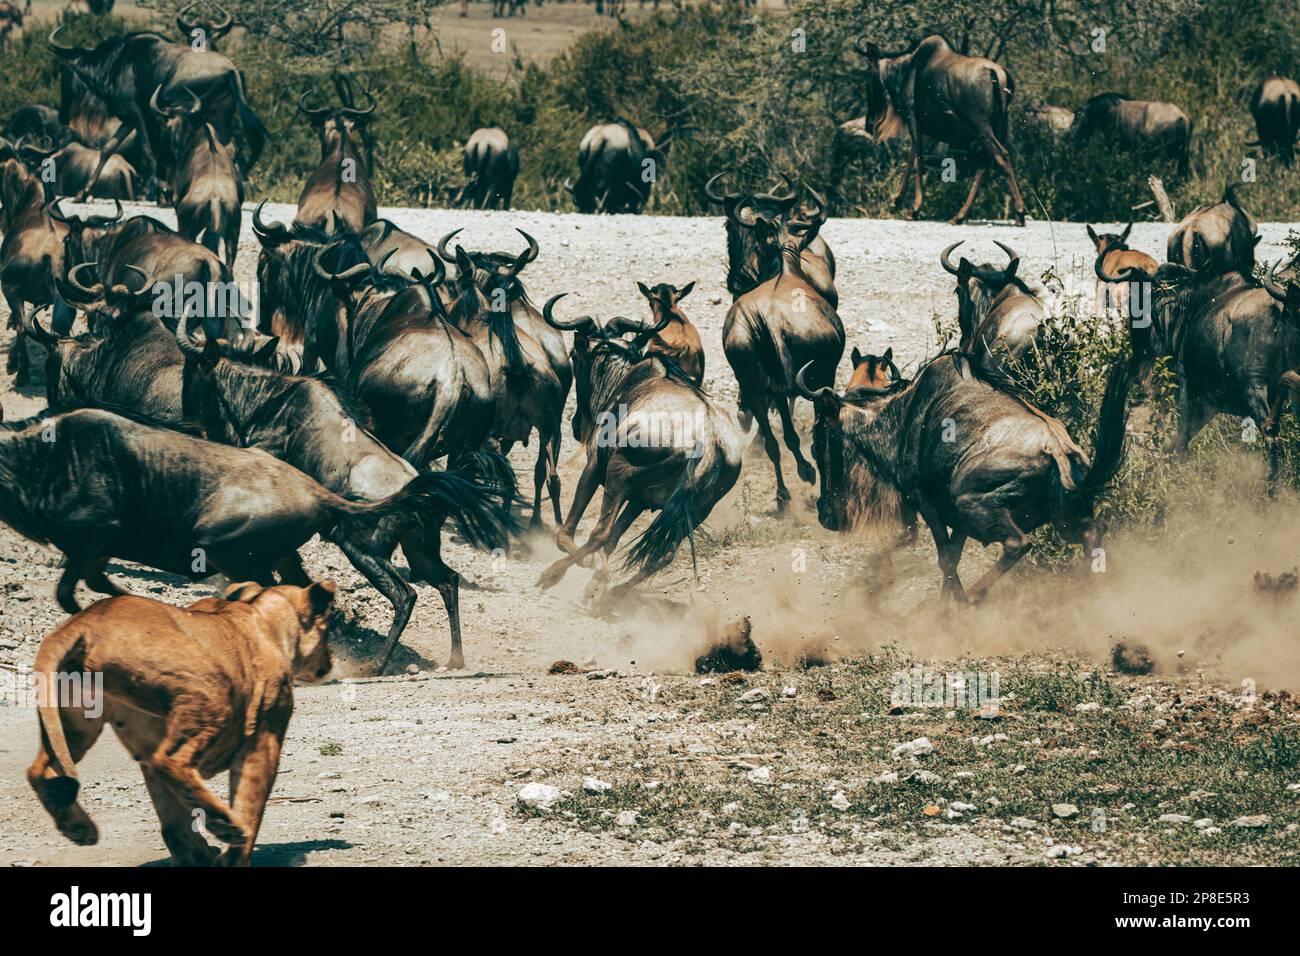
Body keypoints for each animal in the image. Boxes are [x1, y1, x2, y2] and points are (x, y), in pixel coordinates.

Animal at [26, 580, 337, 867]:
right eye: (327, 631)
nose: (331, 661)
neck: (261, 617)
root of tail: (85, 620)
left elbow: (174, 818)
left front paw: (199, 855)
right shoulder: (264, 739)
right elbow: (250, 805)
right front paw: (233, 855)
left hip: (78, 726)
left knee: (41, 770)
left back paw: (79, 828)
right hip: (210, 692)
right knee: (169, 760)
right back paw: (225, 825)